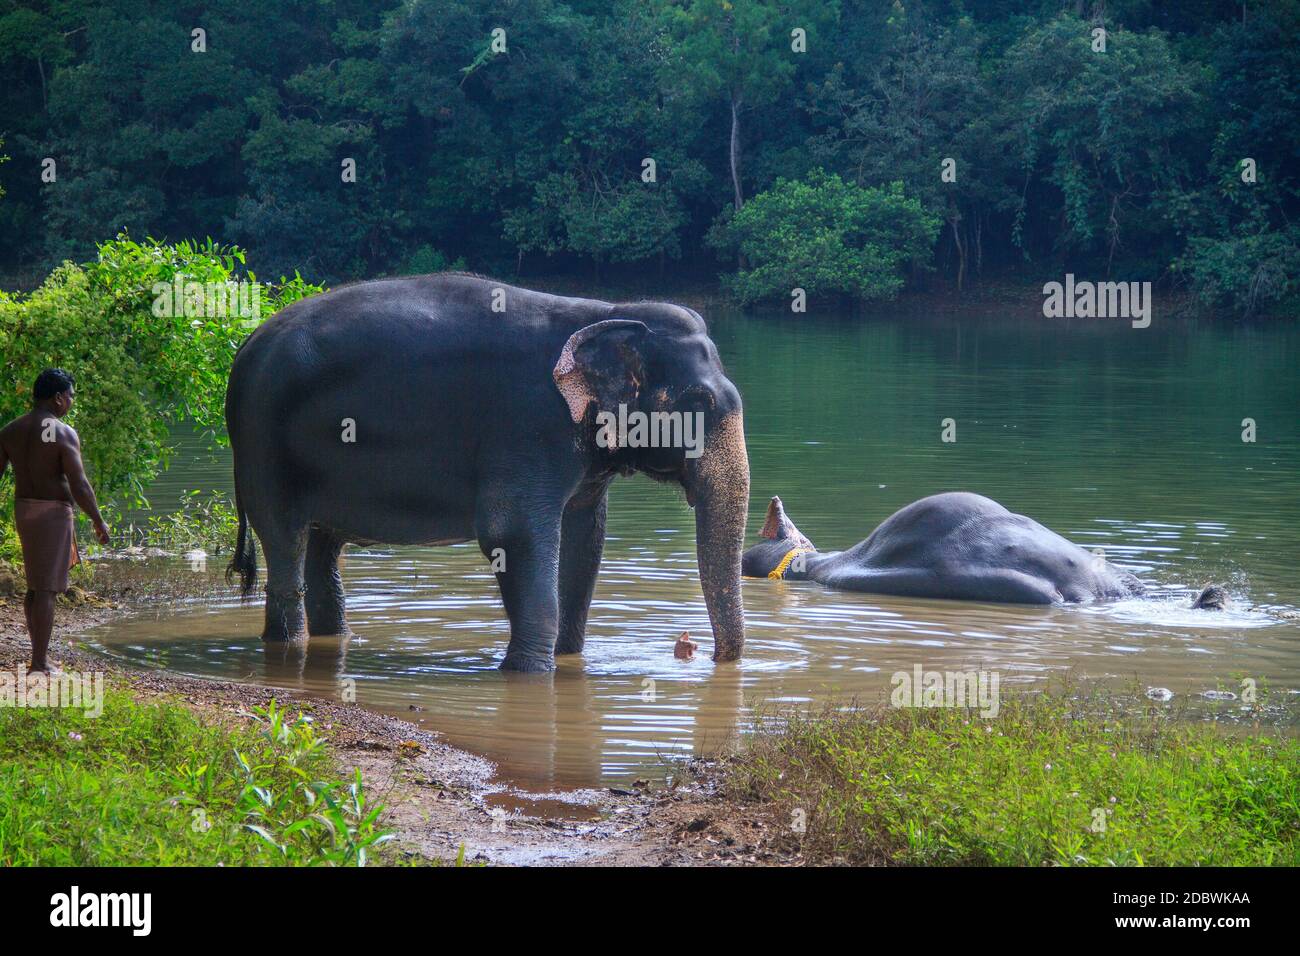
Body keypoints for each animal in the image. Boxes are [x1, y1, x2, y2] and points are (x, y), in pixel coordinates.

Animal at [225, 273, 750, 672]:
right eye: (699, 404)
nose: (692, 650)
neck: (605, 312)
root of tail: (246, 344)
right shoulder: (527, 426)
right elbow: (511, 532)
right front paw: (528, 674)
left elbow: (585, 538)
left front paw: (567, 661)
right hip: (263, 440)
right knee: (286, 540)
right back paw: (288, 646)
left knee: (322, 546)